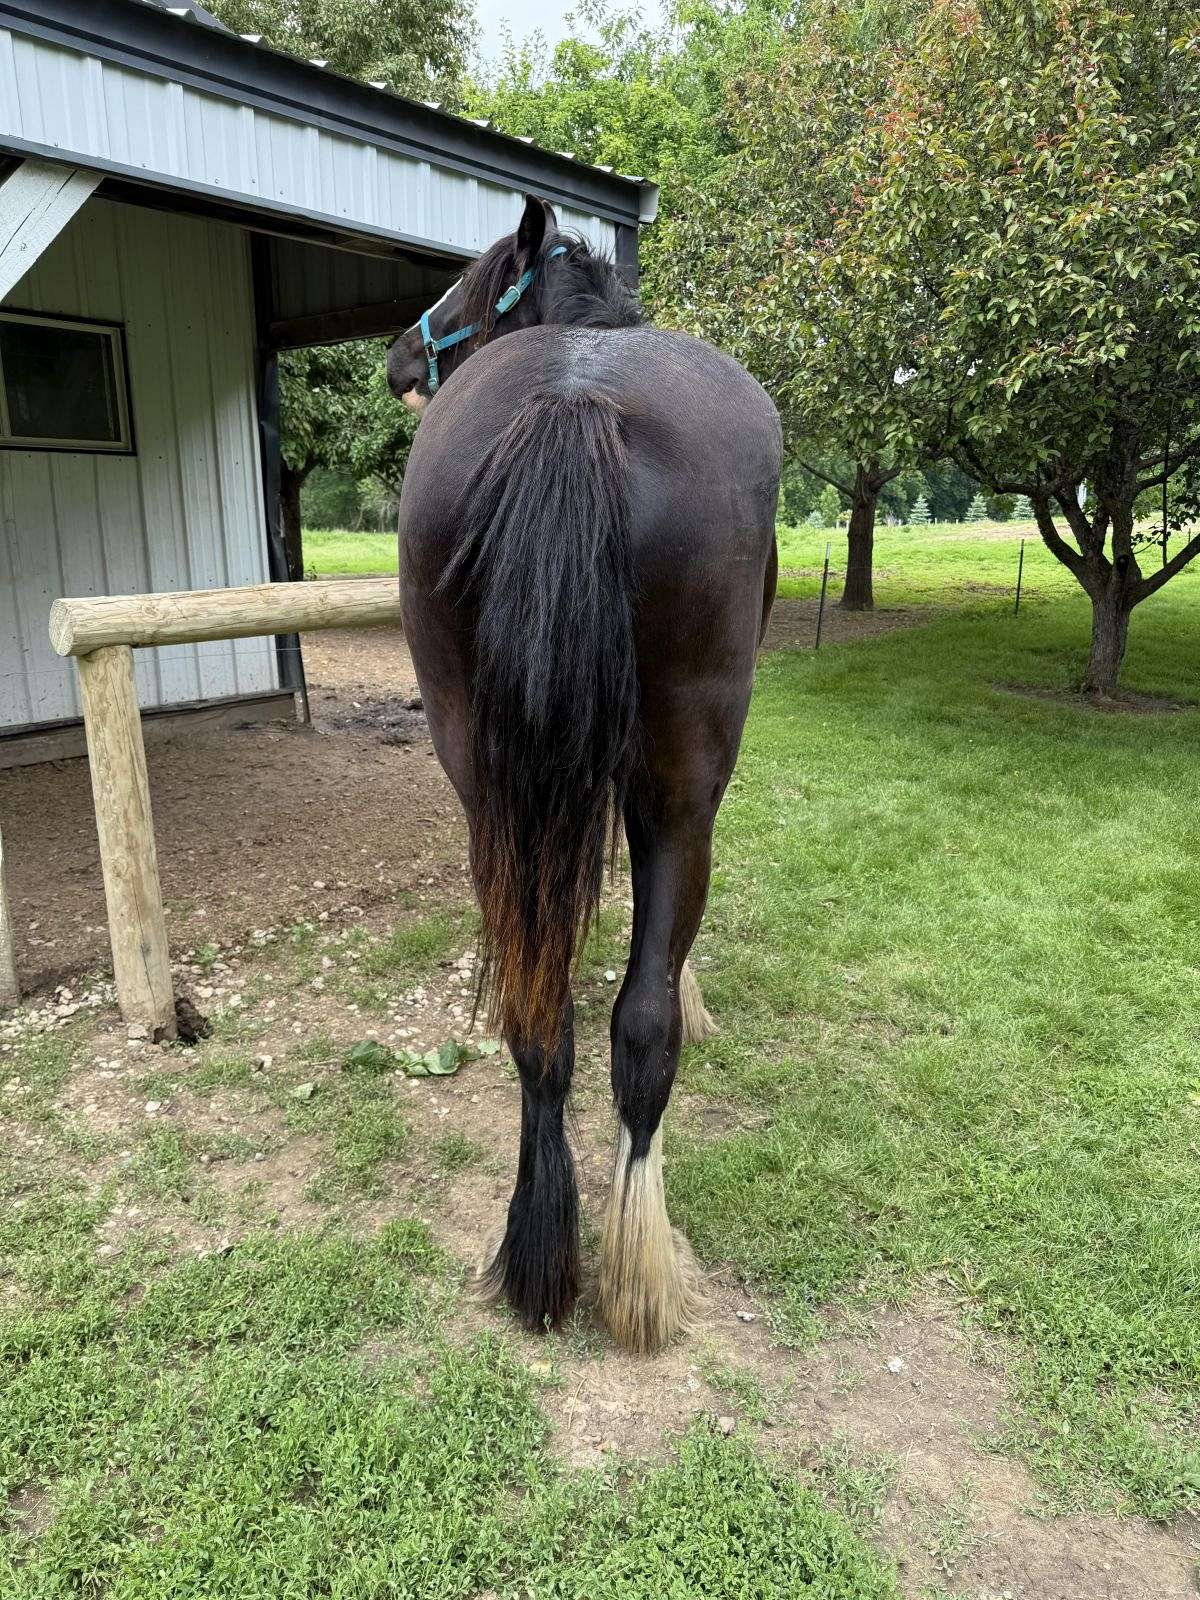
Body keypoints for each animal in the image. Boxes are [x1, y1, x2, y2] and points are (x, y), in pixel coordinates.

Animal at [386, 195, 781, 1352]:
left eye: (469, 288)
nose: (397, 358)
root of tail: (574, 399)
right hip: (683, 780)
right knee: (641, 1034)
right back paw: (638, 1264)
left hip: (482, 785)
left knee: (541, 1021)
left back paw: (541, 1257)